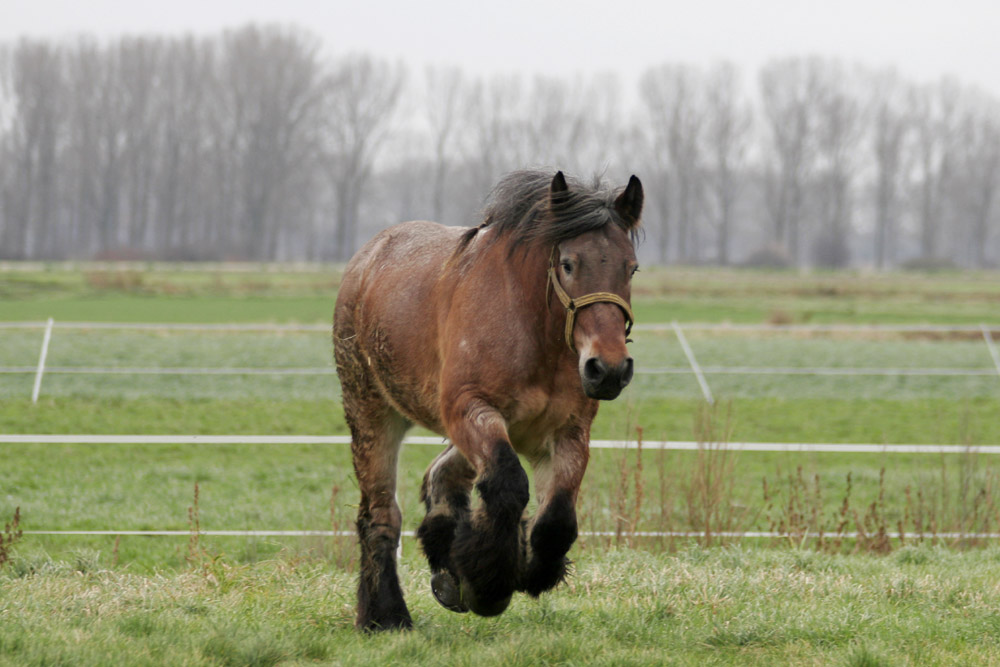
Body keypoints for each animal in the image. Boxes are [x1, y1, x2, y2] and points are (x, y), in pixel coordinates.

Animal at [333, 169, 643, 631]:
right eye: (569, 263)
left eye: (631, 267)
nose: (607, 369)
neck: (534, 332)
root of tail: (368, 256)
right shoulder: (470, 409)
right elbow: (508, 483)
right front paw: (488, 585)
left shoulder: (566, 433)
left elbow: (557, 515)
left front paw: (526, 571)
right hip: (372, 412)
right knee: (380, 513)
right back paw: (385, 616)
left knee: (439, 476)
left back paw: (443, 560)